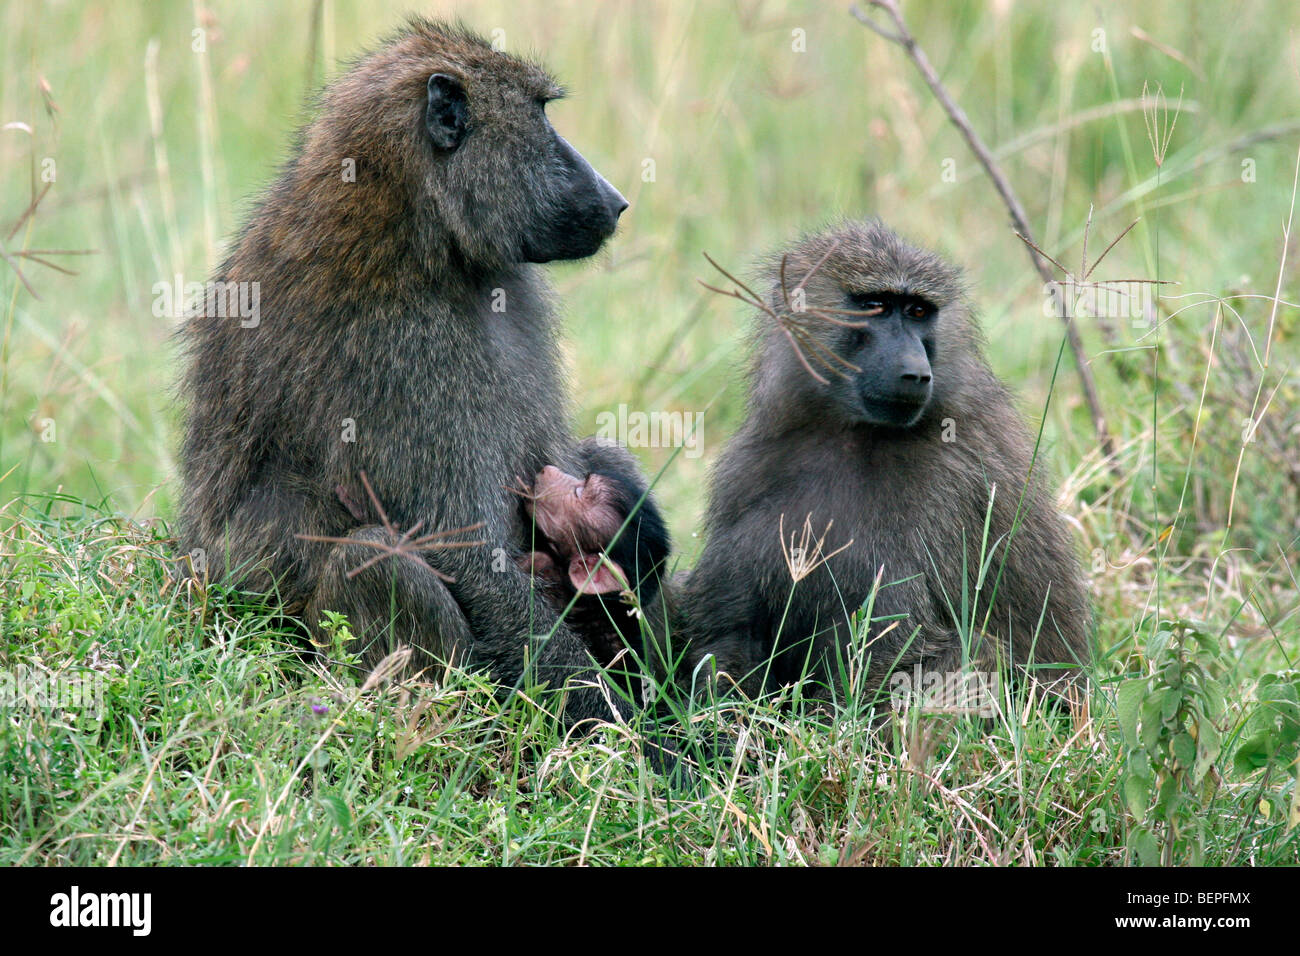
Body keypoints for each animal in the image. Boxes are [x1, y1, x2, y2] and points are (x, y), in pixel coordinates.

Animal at [176, 18, 642, 724]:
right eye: (541, 113)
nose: (616, 202)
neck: (418, 229)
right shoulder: (399, 353)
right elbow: (469, 555)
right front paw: (645, 738)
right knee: (376, 560)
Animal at [661, 219, 1091, 712]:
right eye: (875, 306)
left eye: (919, 311)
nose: (915, 372)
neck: (851, 433)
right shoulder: (747, 469)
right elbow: (727, 631)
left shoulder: (948, 481)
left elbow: (897, 650)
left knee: (973, 655)